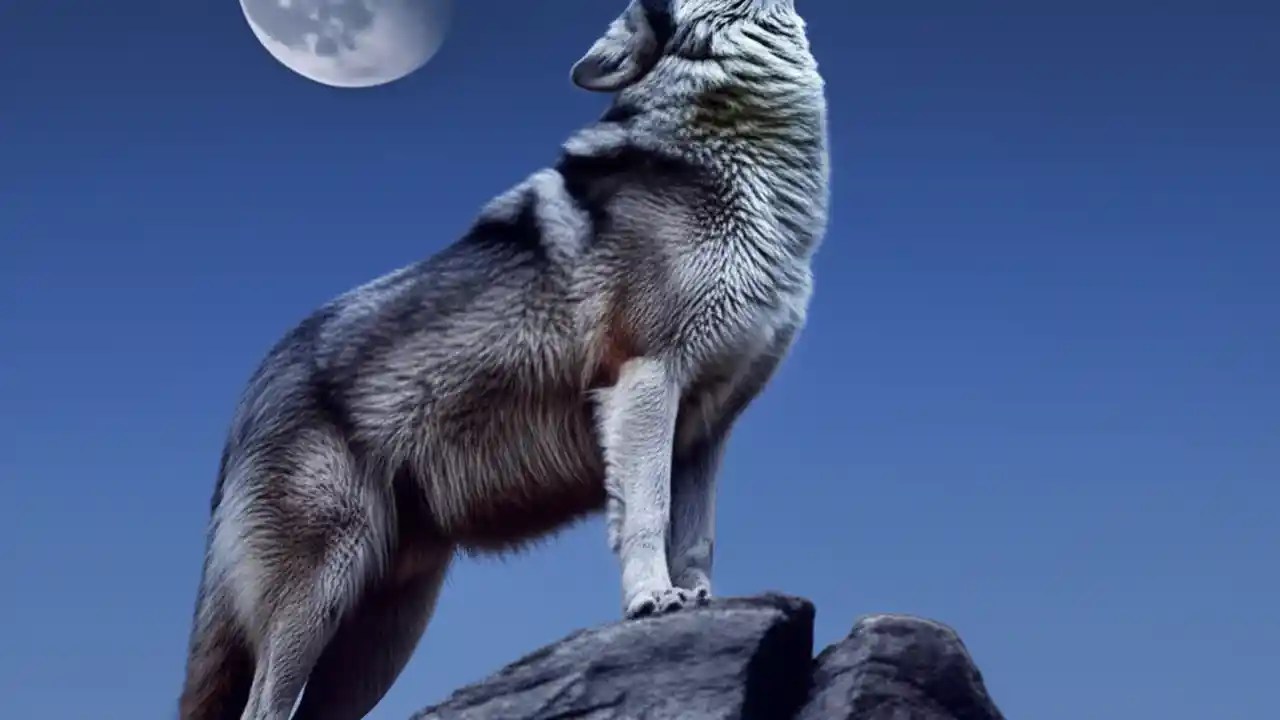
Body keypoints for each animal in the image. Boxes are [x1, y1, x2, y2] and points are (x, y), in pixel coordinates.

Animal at [178, 1, 829, 718]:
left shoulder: (707, 424)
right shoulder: (645, 378)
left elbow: (696, 536)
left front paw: (701, 601)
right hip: (320, 598)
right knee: (262, 706)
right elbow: (647, 513)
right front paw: (652, 602)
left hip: (382, 637)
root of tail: (253, 387)